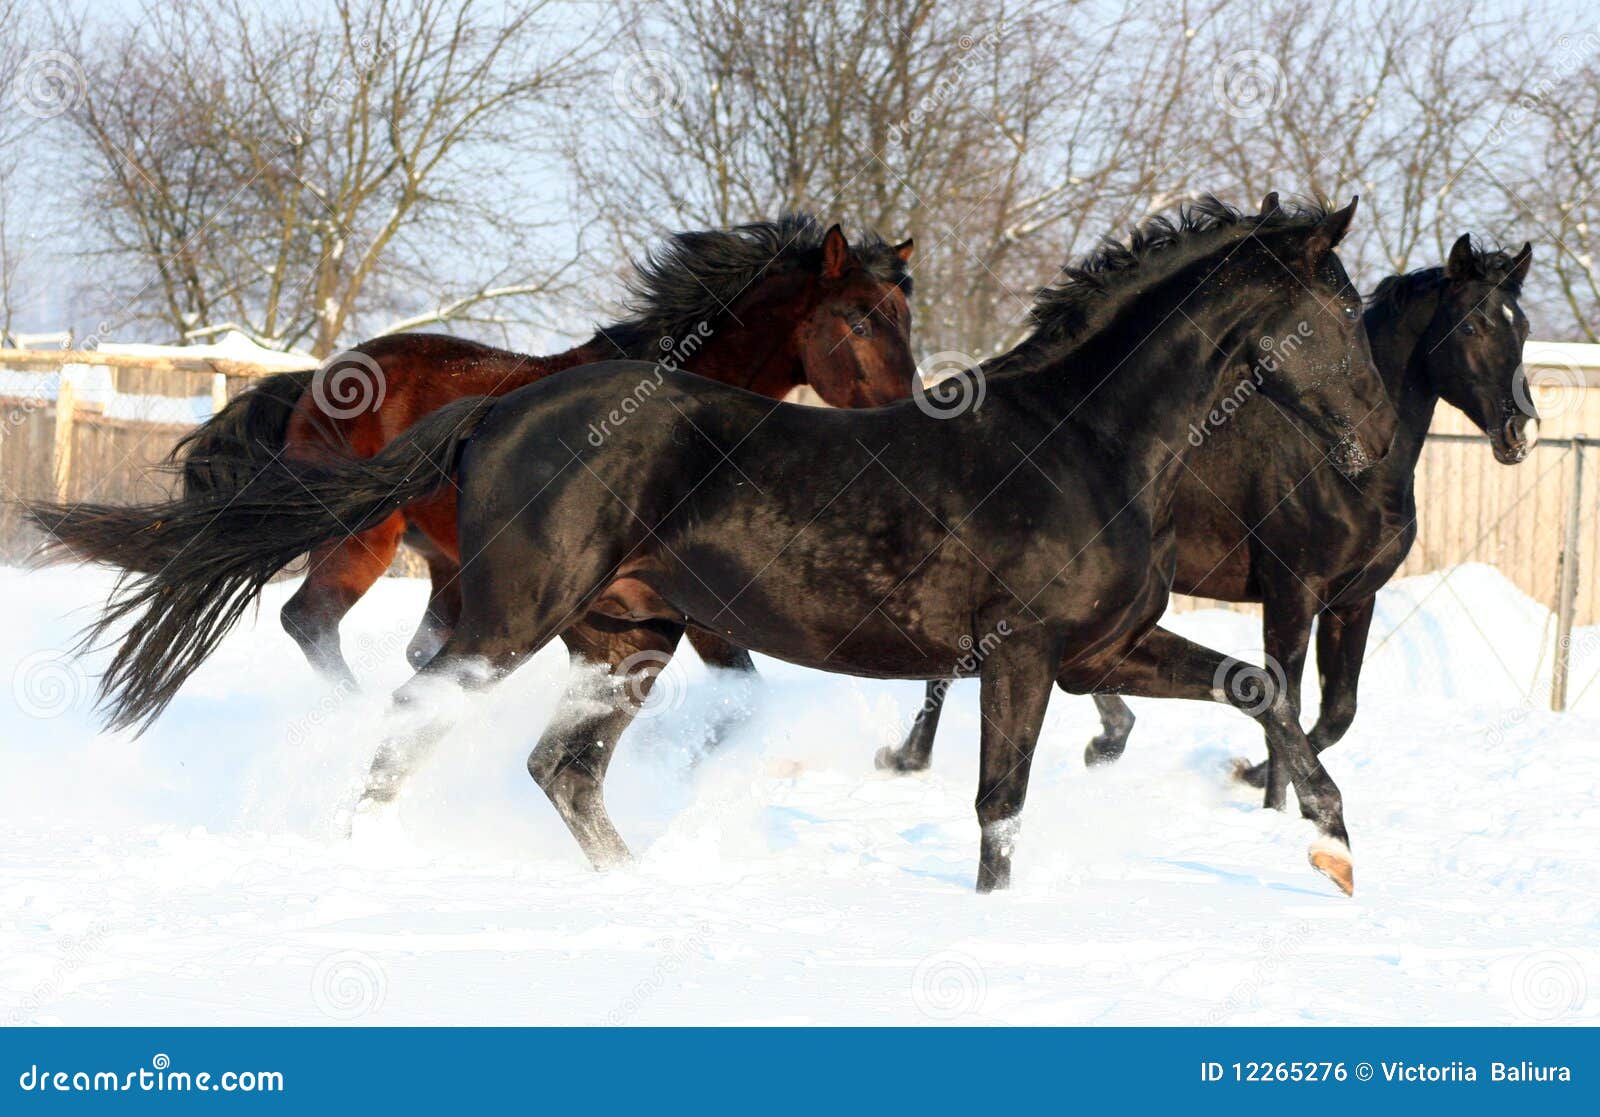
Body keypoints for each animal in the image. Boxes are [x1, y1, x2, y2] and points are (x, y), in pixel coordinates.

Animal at [80, 215, 917, 684]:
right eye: (858, 320)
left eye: (904, 314)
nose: (910, 410)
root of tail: (313, 382)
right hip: (362, 539)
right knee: (309, 622)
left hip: (443, 559)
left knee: (411, 646)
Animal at [880, 234, 1535, 811]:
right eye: (1472, 325)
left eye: (1523, 328)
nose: (1517, 432)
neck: (1345, 471)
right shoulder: (1292, 591)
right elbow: (1289, 698)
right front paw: (1270, 802)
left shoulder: (1354, 599)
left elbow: (1337, 713)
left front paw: (1254, 779)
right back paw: (910, 757)